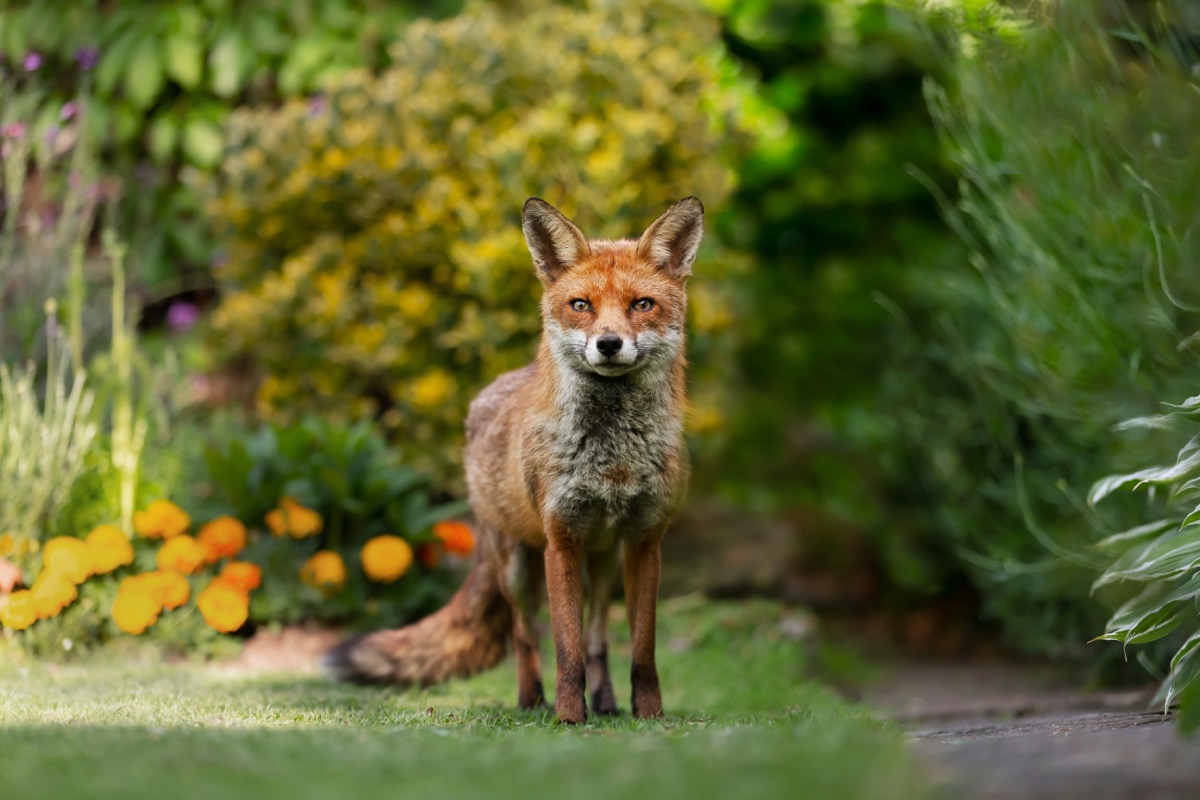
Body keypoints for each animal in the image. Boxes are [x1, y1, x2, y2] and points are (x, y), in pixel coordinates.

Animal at [325, 196, 704, 724]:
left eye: (642, 305)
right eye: (581, 305)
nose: (608, 344)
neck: (611, 461)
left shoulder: (646, 541)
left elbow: (641, 650)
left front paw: (649, 715)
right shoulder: (560, 541)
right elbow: (564, 650)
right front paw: (568, 717)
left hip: (605, 563)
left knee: (598, 640)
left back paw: (607, 704)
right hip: (516, 568)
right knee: (525, 637)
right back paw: (532, 701)